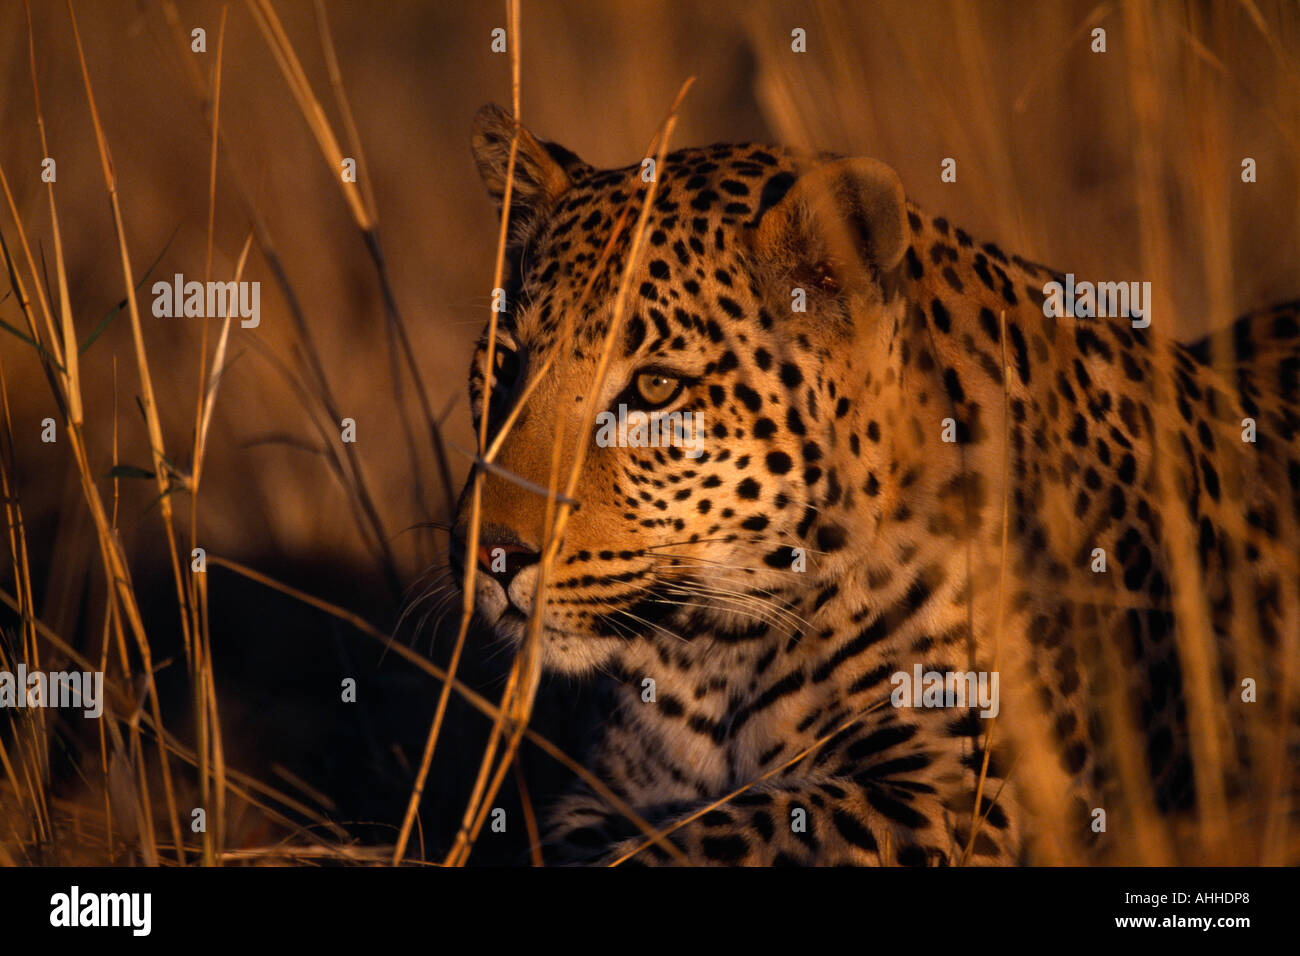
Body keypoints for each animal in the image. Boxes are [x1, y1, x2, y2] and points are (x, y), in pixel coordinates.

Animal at [449, 103, 1300, 866]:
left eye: (657, 389)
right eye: (506, 364)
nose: (490, 555)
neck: (716, 653)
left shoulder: (974, 798)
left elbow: (730, 831)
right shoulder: (608, 792)